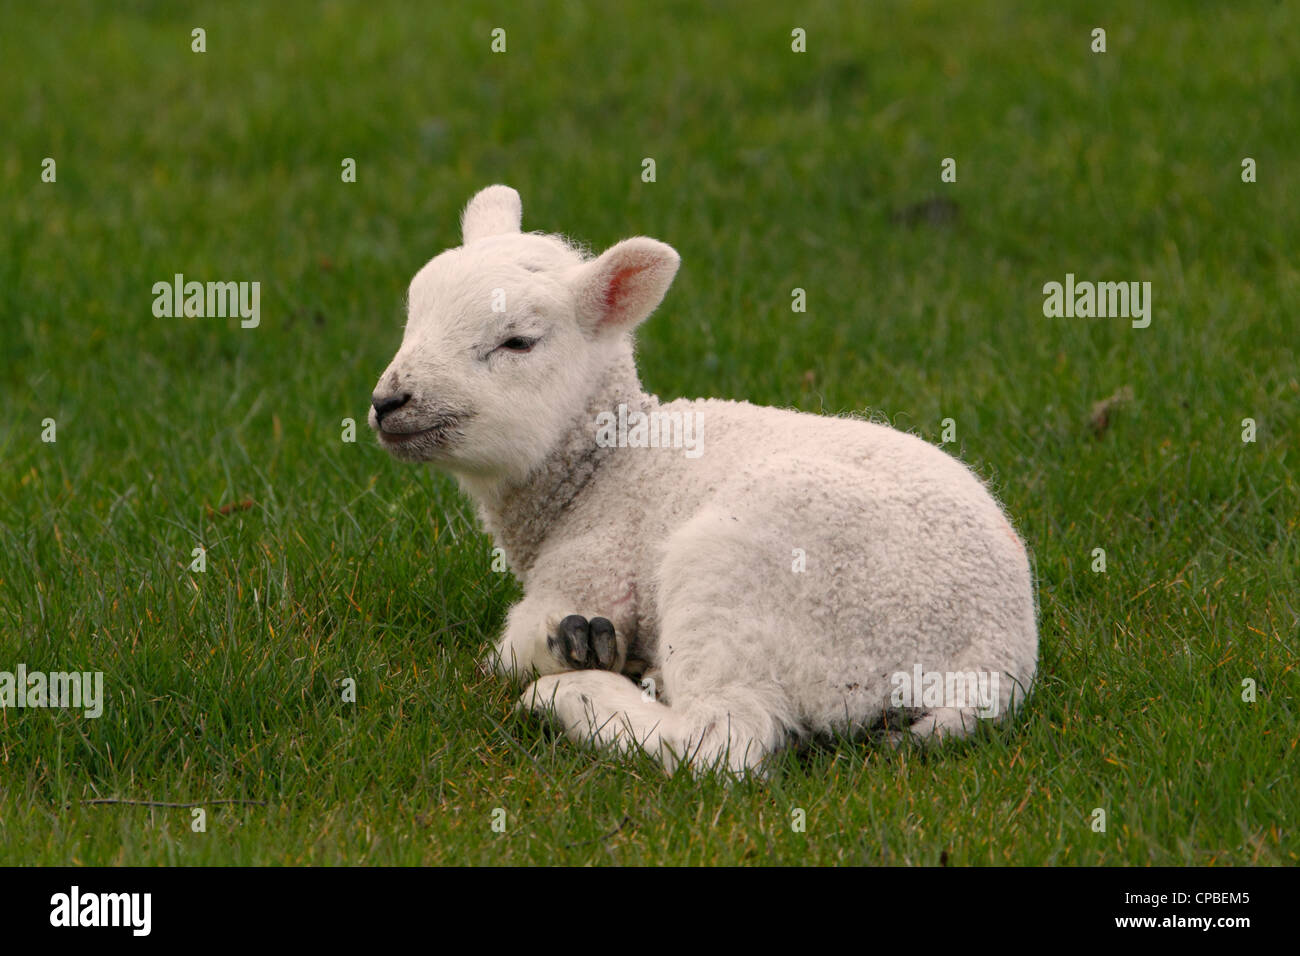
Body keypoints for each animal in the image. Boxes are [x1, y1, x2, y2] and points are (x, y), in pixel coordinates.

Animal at [369, 184, 1038, 774]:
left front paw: (567, 659)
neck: (604, 466)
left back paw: (574, 696)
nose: (387, 402)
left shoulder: (593, 572)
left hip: (742, 575)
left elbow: (509, 654)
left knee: (719, 741)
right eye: (413, 315)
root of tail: (990, 661)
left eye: (517, 342)